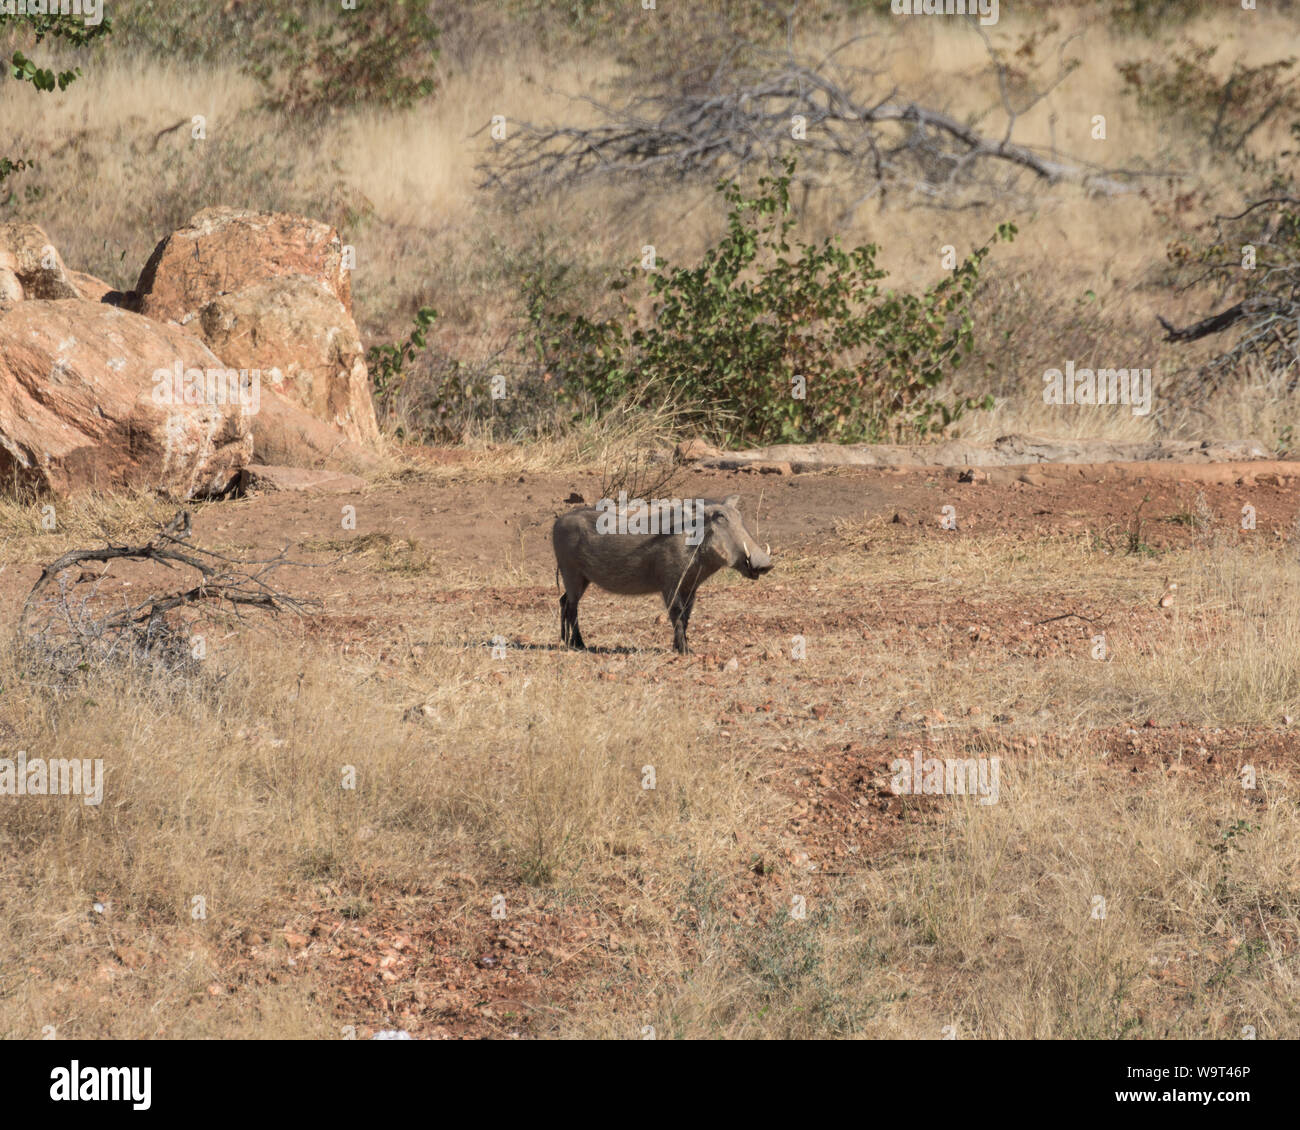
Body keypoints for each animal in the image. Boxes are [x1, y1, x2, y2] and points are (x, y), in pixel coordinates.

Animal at [552, 494, 772, 654]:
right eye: (720, 517)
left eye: (739, 516)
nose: (765, 564)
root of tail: (557, 522)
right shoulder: (670, 584)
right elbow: (676, 614)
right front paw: (684, 651)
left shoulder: (690, 586)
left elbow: (686, 616)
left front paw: (681, 647)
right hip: (571, 573)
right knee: (572, 607)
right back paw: (579, 645)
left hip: (582, 578)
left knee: (564, 601)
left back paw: (568, 642)